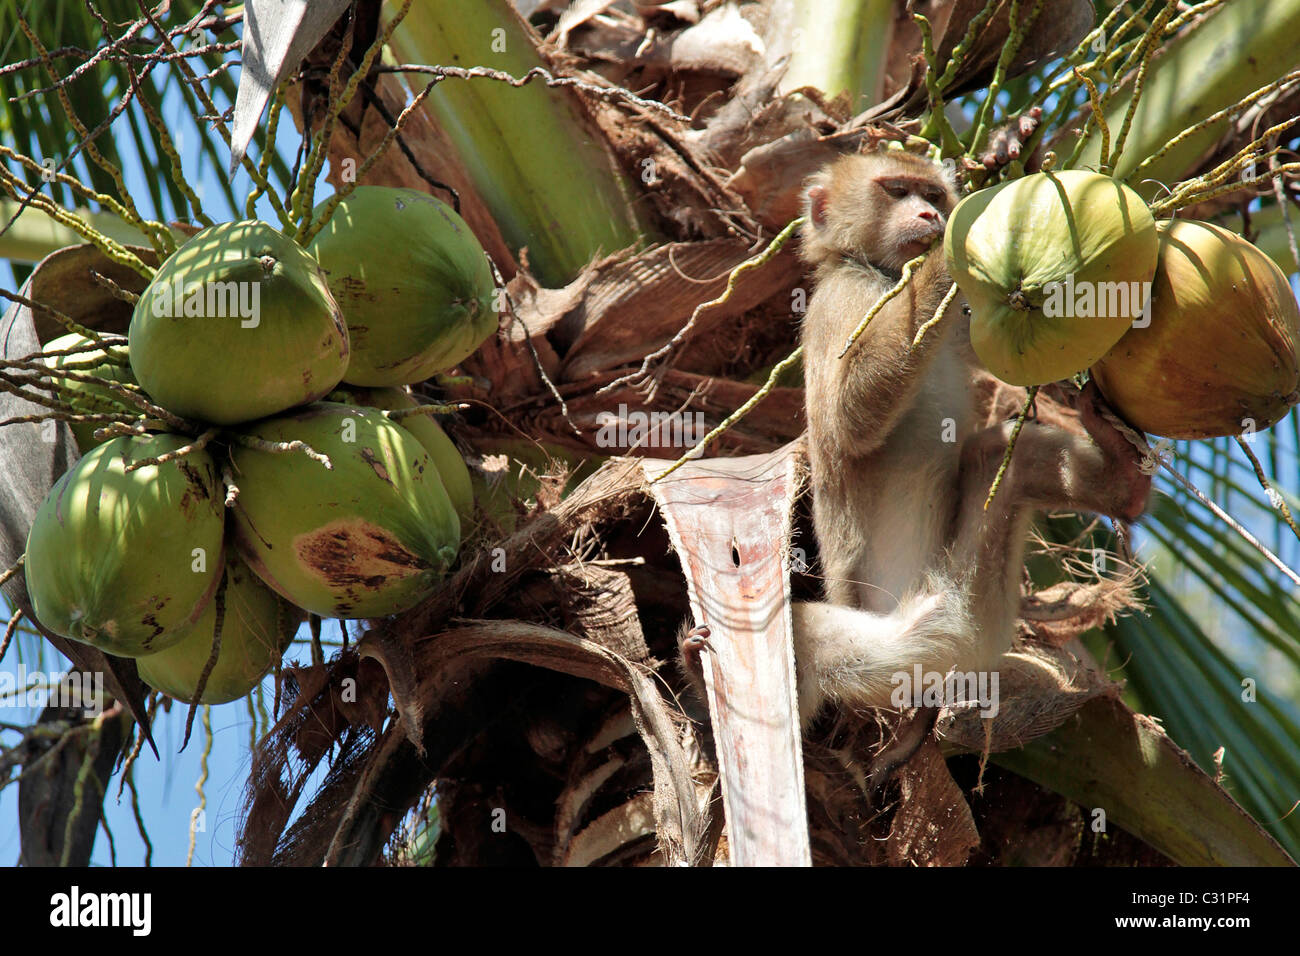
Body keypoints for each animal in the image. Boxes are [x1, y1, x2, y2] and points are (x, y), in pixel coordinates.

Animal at [679, 148, 1152, 731]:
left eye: (931, 194)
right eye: (897, 190)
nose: (929, 215)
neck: (884, 274)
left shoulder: (964, 323)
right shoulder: (844, 297)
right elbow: (851, 419)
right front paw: (947, 255)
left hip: (975, 596)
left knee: (1003, 459)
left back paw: (1123, 482)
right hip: (905, 652)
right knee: (813, 636)